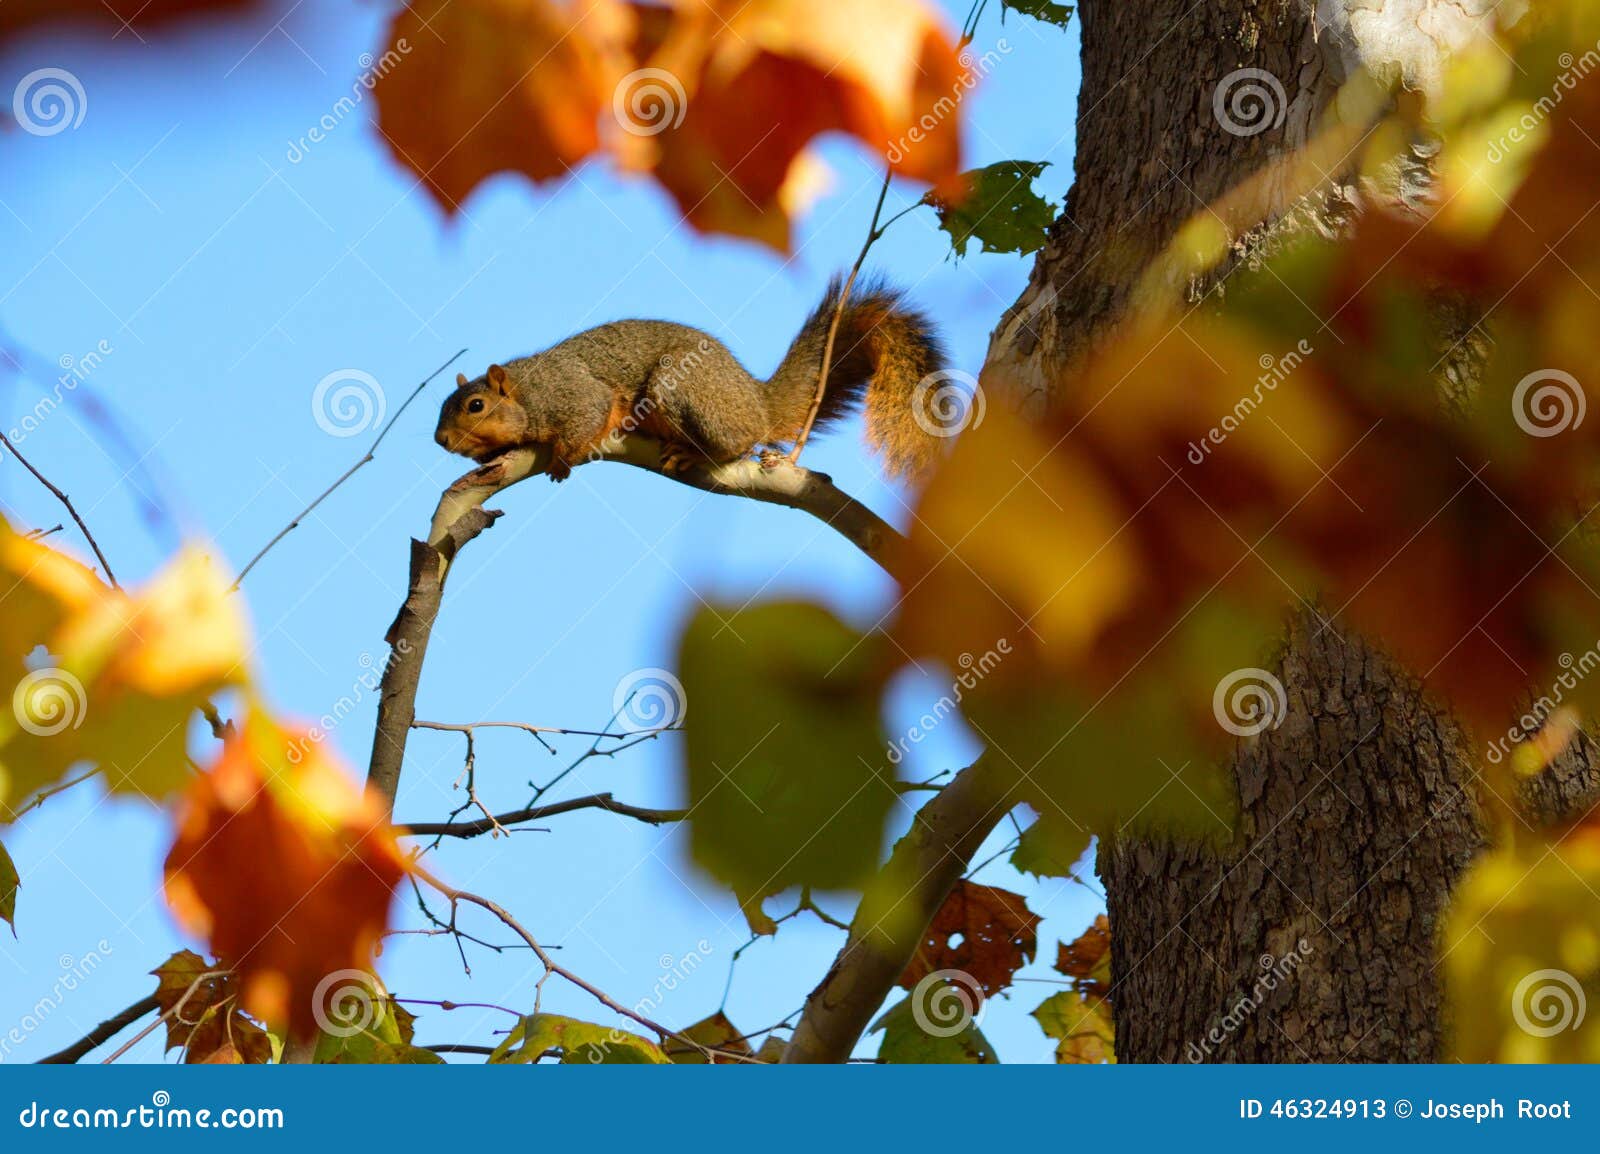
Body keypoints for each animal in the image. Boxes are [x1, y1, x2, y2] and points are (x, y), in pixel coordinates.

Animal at [434, 276, 948, 483]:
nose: (441, 441)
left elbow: (587, 416)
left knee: (740, 442)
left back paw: (696, 452)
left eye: (476, 406)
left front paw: (562, 459)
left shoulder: (571, 393)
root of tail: (758, 399)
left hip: (683, 389)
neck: (524, 392)